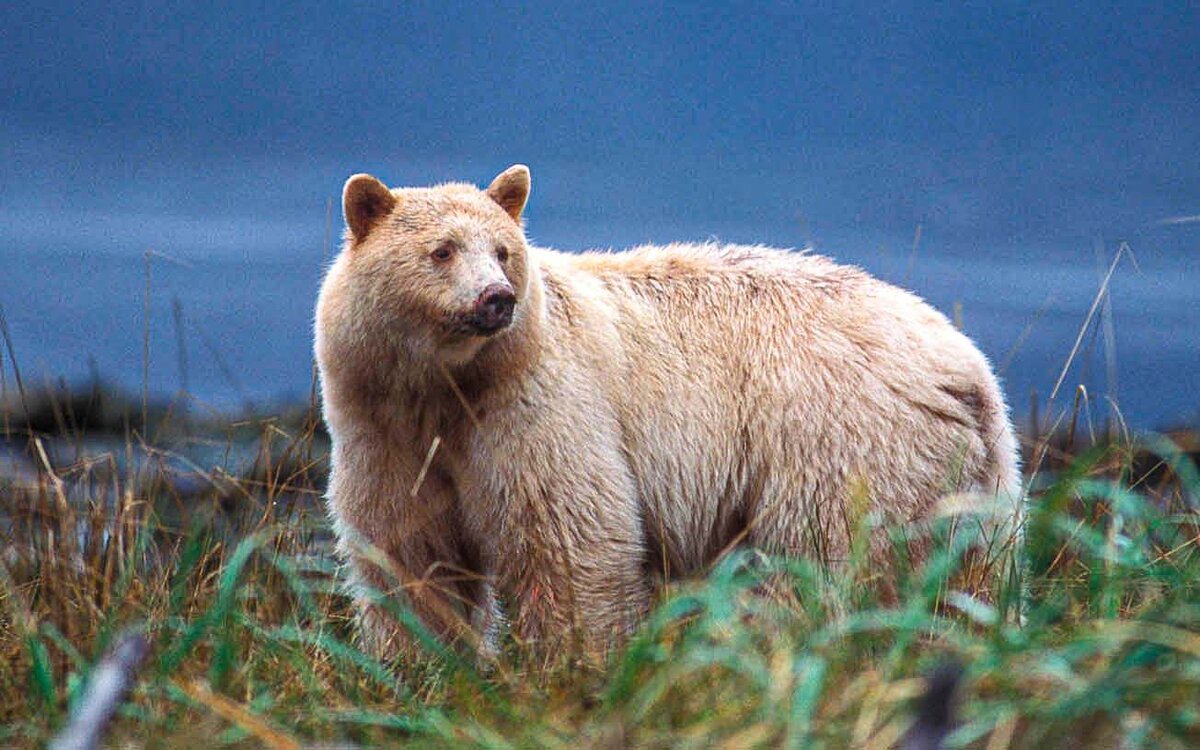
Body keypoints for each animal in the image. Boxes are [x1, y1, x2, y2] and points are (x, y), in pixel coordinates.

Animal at [314, 163, 1017, 652]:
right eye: (442, 249)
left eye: (504, 250)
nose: (497, 299)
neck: (446, 385)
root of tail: (966, 368)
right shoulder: (386, 430)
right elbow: (409, 559)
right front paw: (421, 665)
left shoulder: (534, 410)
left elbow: (569, 542)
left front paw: (570, 666)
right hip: (974, 481)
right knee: (970, 579)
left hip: (843, 441)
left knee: (823, 561)